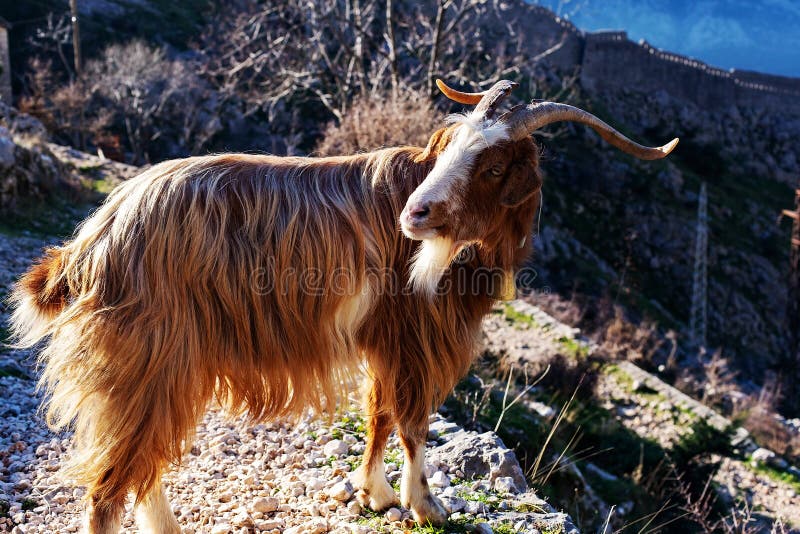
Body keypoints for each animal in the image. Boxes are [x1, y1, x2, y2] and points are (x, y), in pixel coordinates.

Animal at [10, 79, 677, 532]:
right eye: (449, 150)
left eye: (491, 166)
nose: (416, 213)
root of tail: (94, 239)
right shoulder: (415, 336)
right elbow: (411, 420)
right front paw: (424, 503)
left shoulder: (386, 340)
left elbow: (379, 414)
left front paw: (374, 494)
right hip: (148, 359)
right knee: (109, 483)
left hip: (161, 370)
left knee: (138, 462)